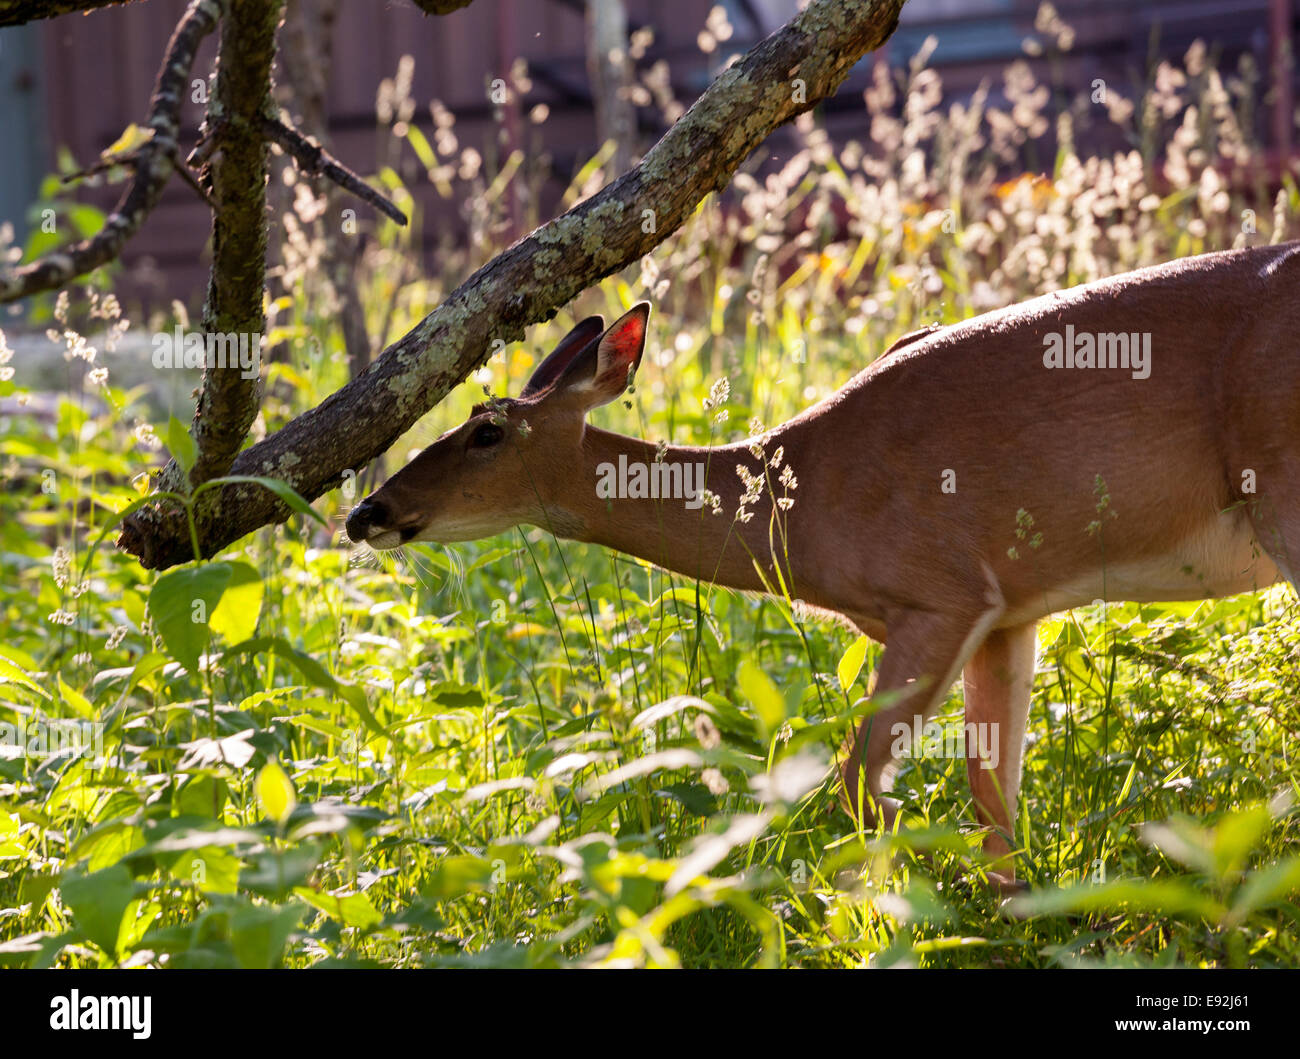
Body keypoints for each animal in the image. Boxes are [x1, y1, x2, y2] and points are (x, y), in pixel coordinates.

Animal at [345, 241, 1300, 890]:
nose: (367, 512)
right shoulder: (1011, 608)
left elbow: (861, 783)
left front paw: (887, 914)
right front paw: (1009, 912)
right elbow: (992, 795)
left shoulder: (940, 592)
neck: (801, 512)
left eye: (486, 429)